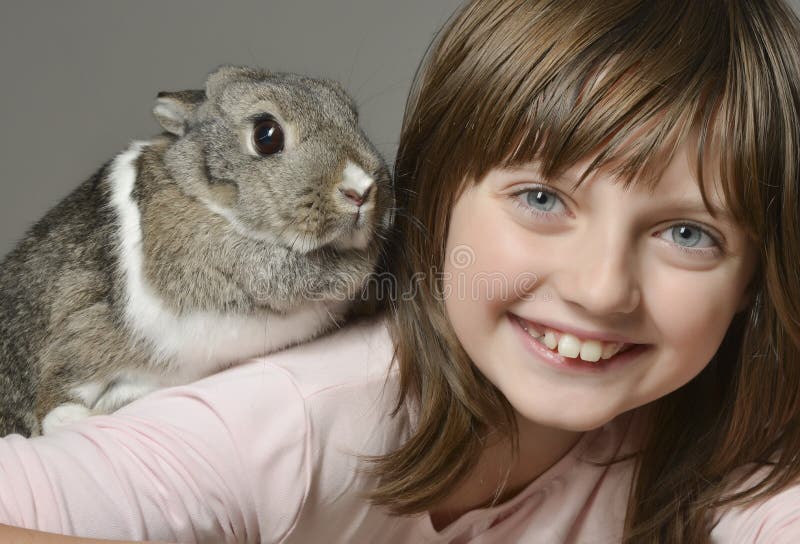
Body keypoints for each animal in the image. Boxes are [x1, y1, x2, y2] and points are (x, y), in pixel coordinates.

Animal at [0, 65, 395, 437]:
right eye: (266, 135)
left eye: (352, 114)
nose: (361, 189)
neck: (208, 203)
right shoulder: (83, 322)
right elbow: (60, 390)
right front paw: (74, 418)